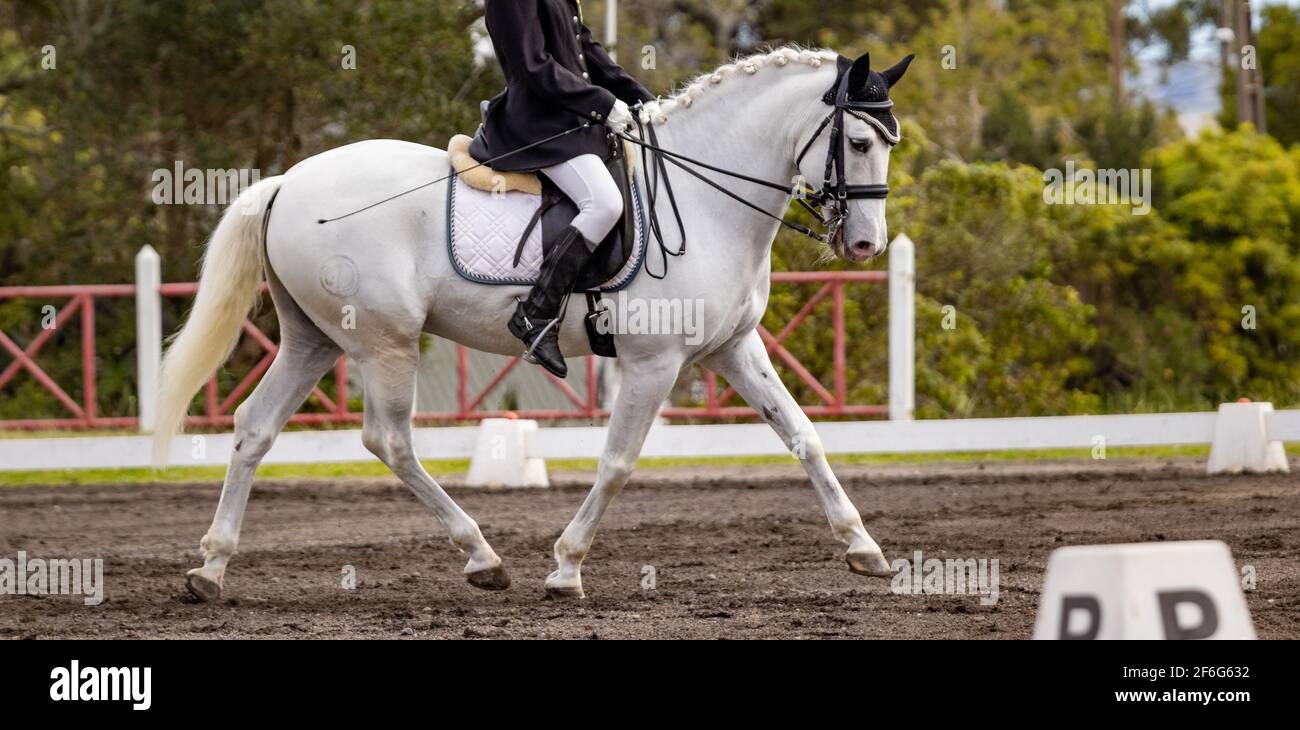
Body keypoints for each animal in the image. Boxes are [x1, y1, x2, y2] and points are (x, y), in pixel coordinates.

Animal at [155, 46, 909, 601]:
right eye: (860, 141)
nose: (866, 244)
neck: (705, 200)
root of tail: (285, 182)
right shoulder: (654, 363)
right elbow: (617, 462)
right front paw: (566, 568)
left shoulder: (733, 350)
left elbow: (804, 437)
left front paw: (865, 548)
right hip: (384, 342)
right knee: (389, 440)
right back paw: (482, 557)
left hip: (312, 339)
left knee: (255, 426)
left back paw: (211, 568)